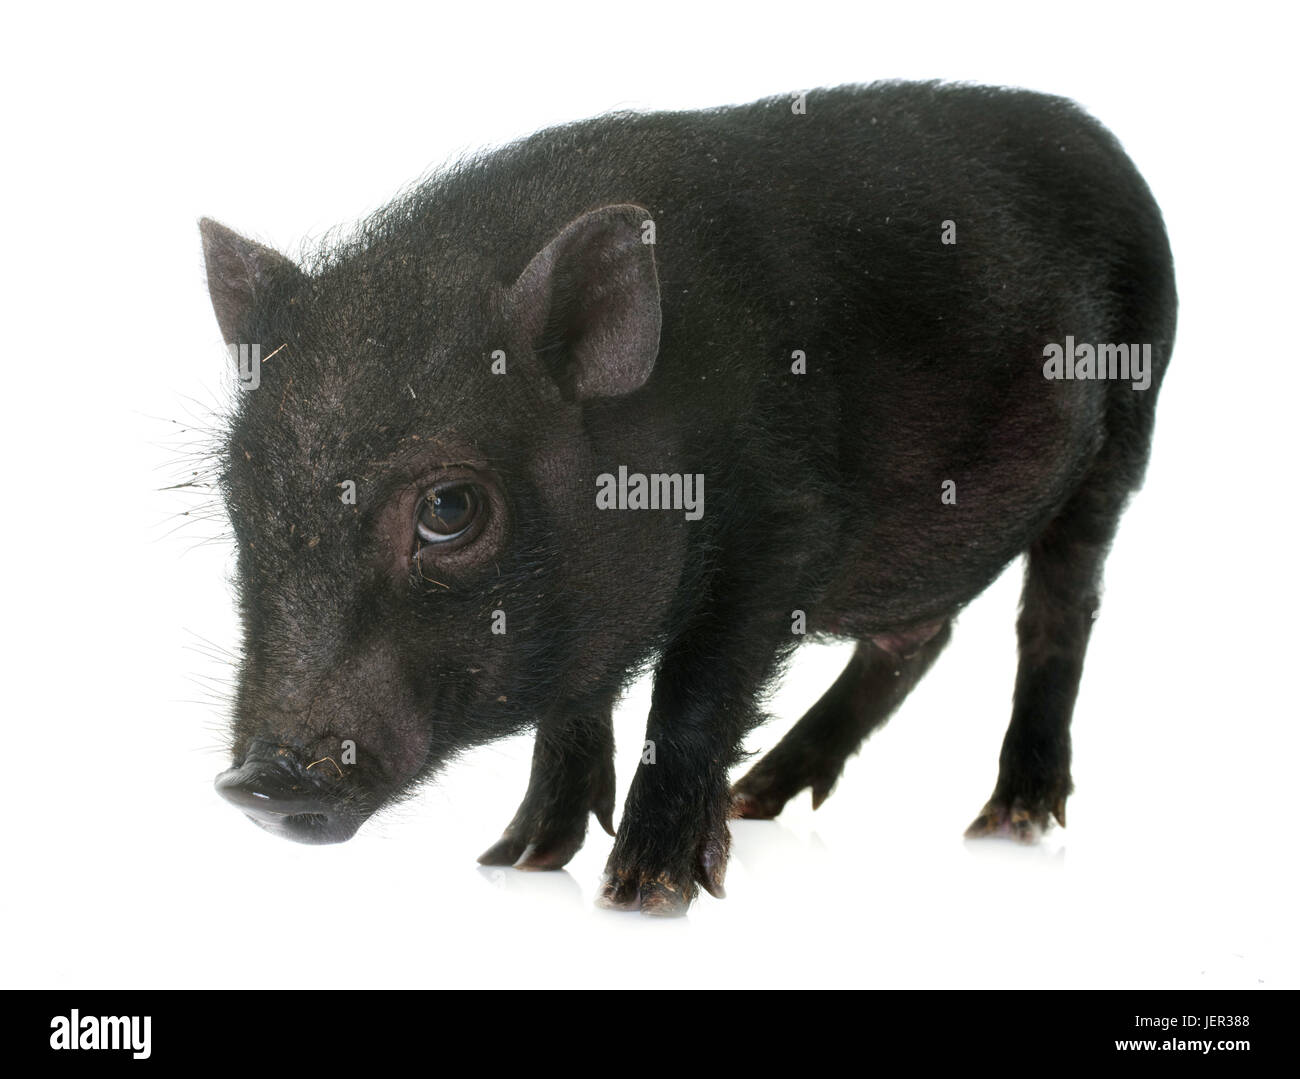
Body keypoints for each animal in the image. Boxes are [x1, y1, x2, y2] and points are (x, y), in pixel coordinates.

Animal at [202, 80, 1175, 915]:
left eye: (448, 508)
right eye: (236, 493)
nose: (257, 782)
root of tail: (1106, 148)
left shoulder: (785, 527)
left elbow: (694, 690)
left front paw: (643, 895)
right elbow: (576, 699)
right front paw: (516, 858)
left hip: (1124, 434)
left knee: (1057, 612)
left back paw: (1009, 822)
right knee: (917, 636)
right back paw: (757, 798)